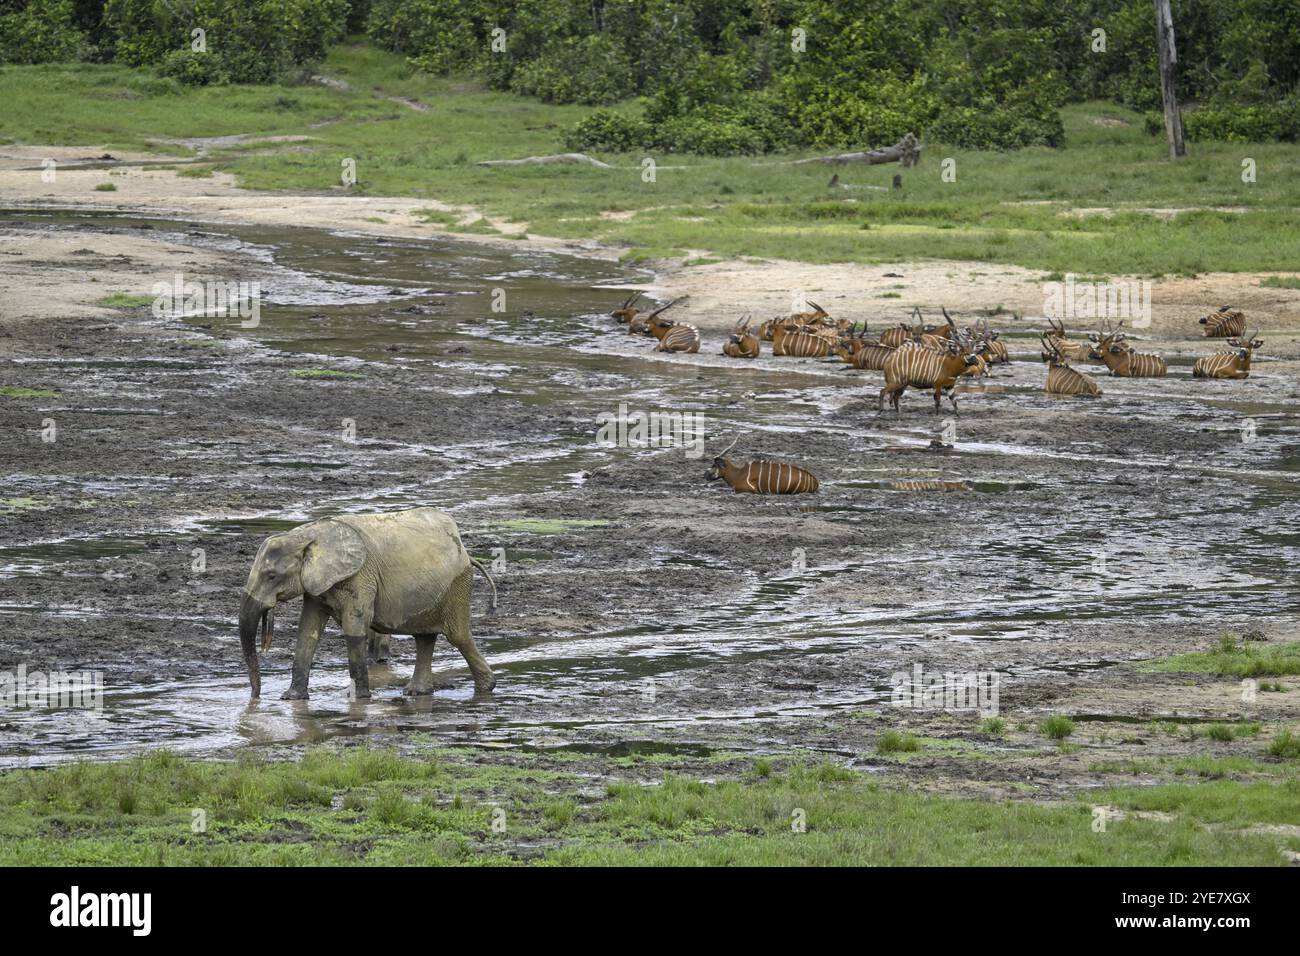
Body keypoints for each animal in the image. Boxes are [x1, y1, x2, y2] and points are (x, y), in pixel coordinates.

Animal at [238, 507, 498, 701]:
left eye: (271, 576)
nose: (255, 698)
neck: (307, 535)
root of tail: (466, 554)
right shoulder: (317, 584)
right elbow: (308, 630)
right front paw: (291, 698)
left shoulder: (360, 577)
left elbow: (355, 628)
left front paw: (359, 698)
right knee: (424, 638)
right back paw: (416, 693)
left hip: (457, 586)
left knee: (458, 637)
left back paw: (486, 689)